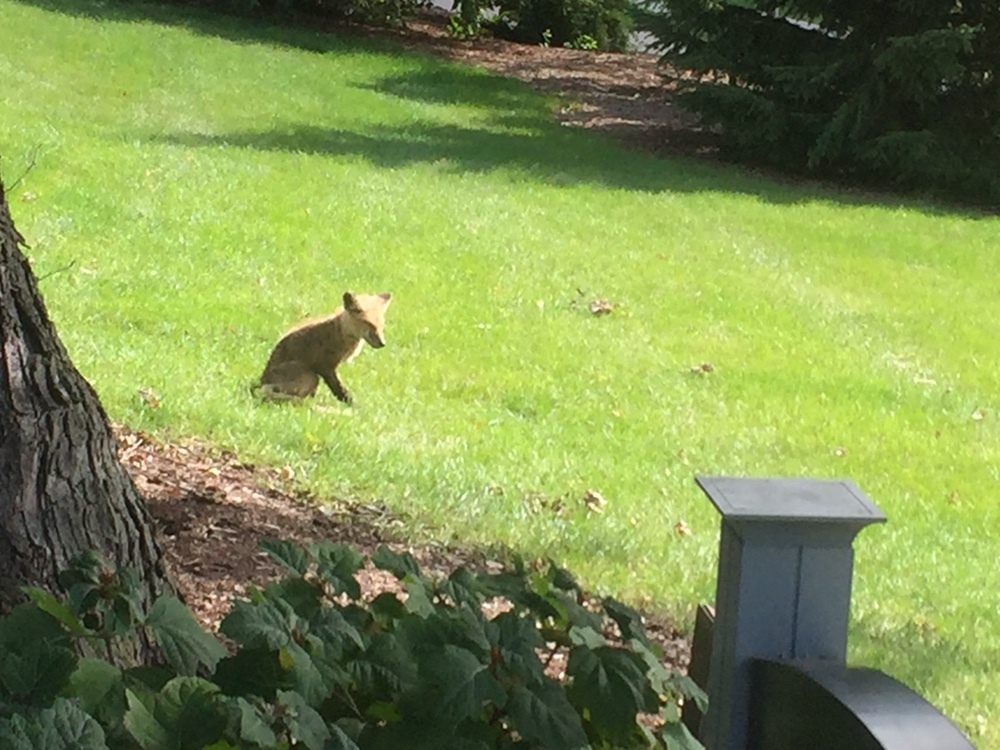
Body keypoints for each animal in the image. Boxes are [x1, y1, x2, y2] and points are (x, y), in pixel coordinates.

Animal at [256, 291, 392, 405]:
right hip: (312, 377)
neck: (341, 332)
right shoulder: (326, 367)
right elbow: (340, 391)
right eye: (369, 324)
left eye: (381, 325)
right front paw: (353, 406)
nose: (382, 343)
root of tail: (261, 383)